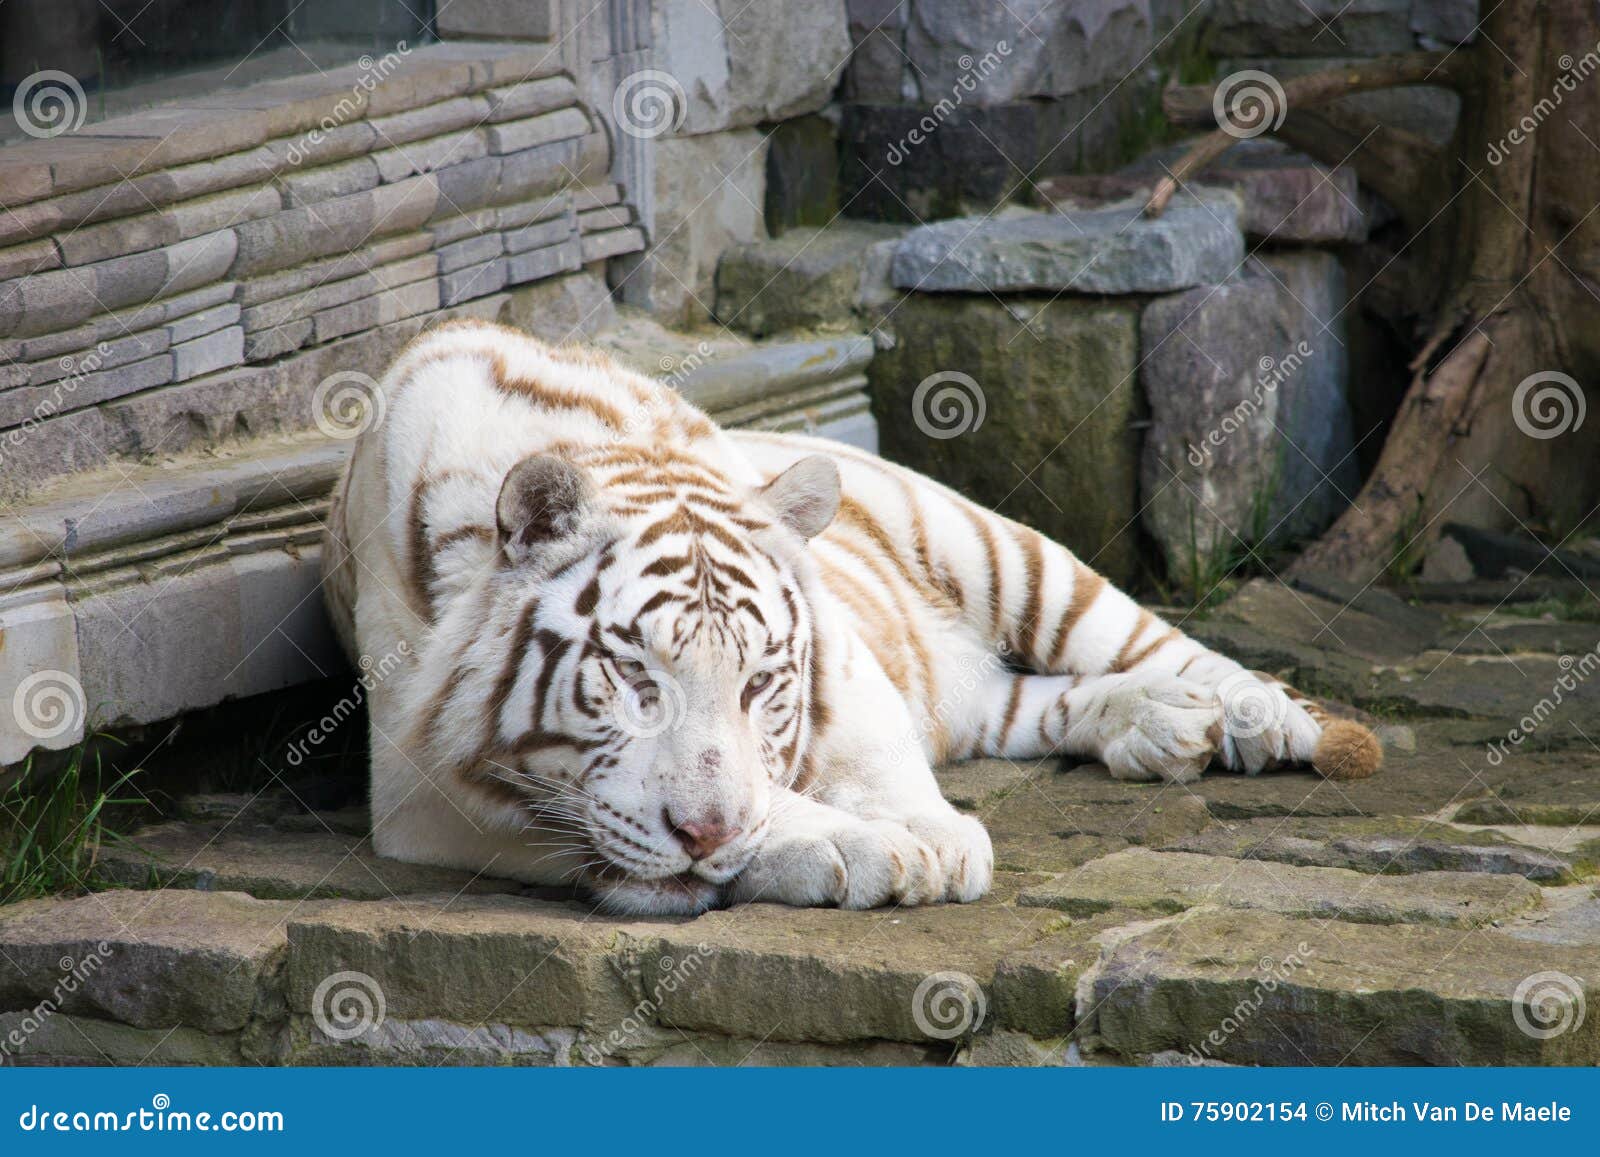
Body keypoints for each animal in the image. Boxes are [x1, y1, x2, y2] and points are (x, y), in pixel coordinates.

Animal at [320, 319, 1381, 916]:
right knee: (1031, 704)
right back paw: (1161, 727)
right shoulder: (421, 785)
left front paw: (936, 839)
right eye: (633, 680)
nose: (702, 836)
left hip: (1003, 552)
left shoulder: (839, 650)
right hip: (983, 685)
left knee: (1168, 644)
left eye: (760, 682)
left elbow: (868, 749)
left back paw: (1271, 723)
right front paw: (855, 845)